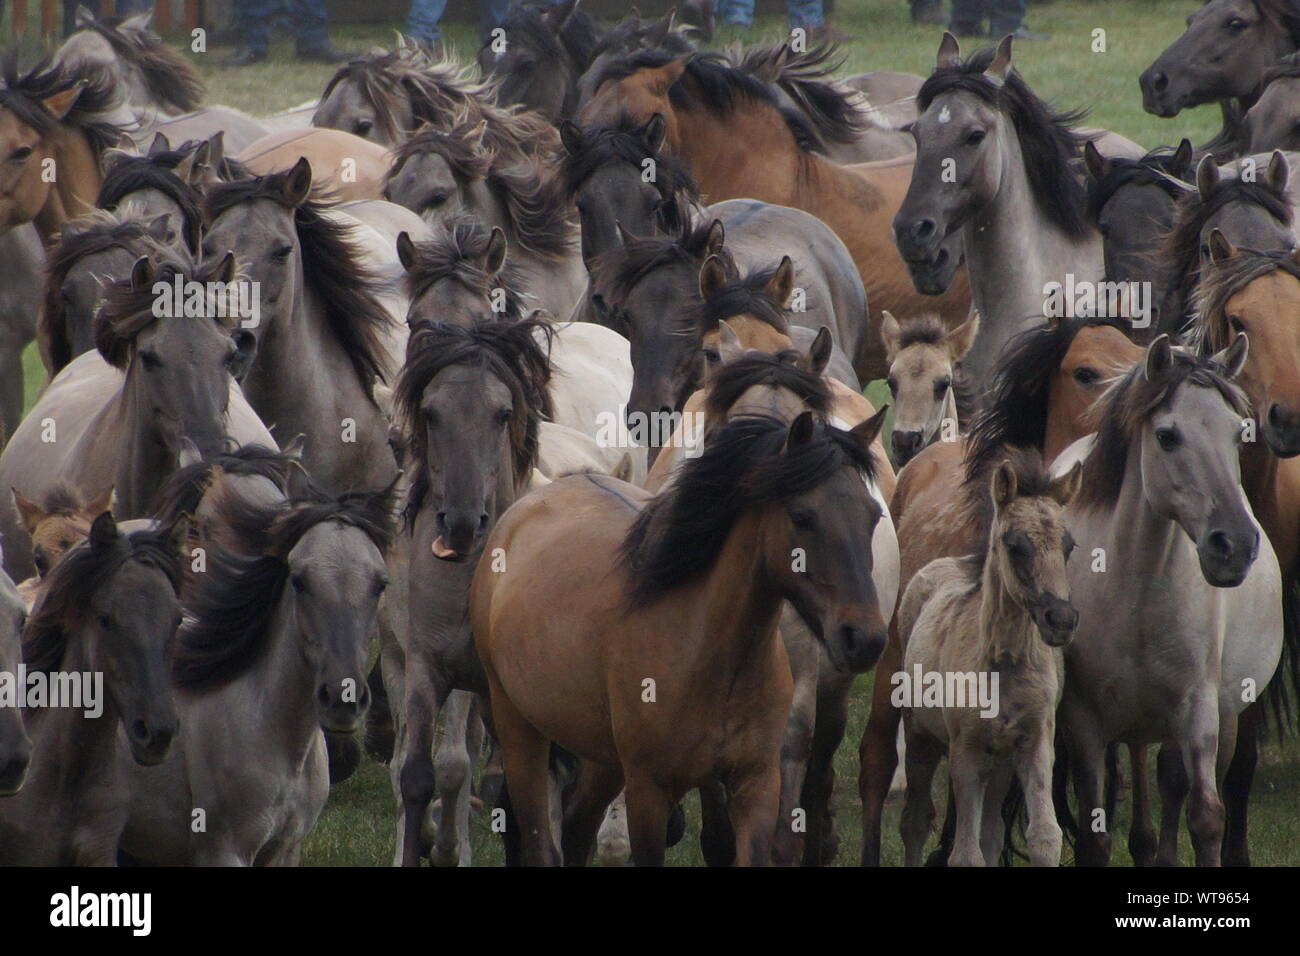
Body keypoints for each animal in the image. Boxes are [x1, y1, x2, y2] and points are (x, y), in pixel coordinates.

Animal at [470, 411, 889, 865]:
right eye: (802, 515)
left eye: (872, 515)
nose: (864, 639)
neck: (705, 652)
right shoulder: (649, 793)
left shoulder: (756, 784)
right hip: (519, 731)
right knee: (539, 841)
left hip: (604, 758)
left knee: (578, 829)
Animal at [899, 450, 1082, 866]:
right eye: (1015, 544)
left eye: (1068, 546)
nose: (1061, 620)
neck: (1004, 665)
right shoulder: (965, 752)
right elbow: (965, 853)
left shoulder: (1035, 742)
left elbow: (1044, 835)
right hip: (921, 735)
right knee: (914, 821)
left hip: (999, 762)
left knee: (992, 832)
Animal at [1061, 334, 1283, 867]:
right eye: (1167, 436)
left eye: (1237, 435)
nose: (1234, 545)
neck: (1134, 587)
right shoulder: (1084, 722)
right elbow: (1094, 836)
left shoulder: (1198, 708)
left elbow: (1205, 816)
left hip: (1221, 714)